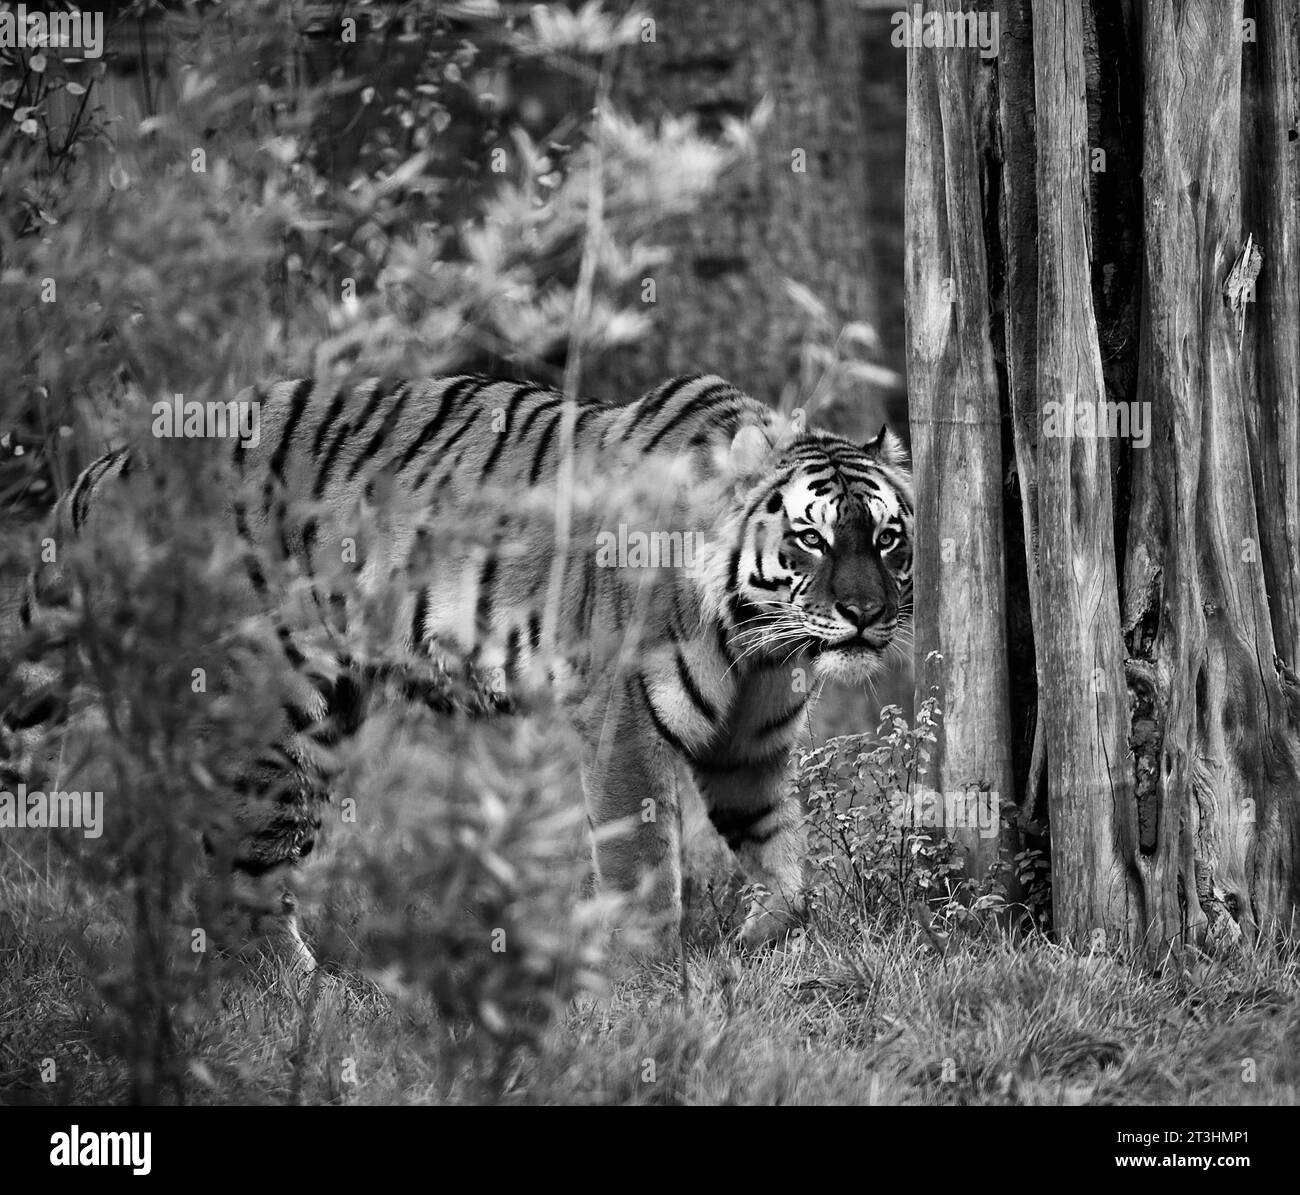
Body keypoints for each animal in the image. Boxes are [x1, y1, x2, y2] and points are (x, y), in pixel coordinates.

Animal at [4, 373, 913, 961]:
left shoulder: (750, 748)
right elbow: (645, 872)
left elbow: (785, 859)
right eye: (811, 537)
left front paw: (761, 939)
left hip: (325, 718)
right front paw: (653, 988)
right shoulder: (623, 725)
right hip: (271, 713)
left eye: (887, 537)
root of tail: (119, 461)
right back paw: (305, 995)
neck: (761, 638)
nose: (867, 613)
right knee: (237, 872)